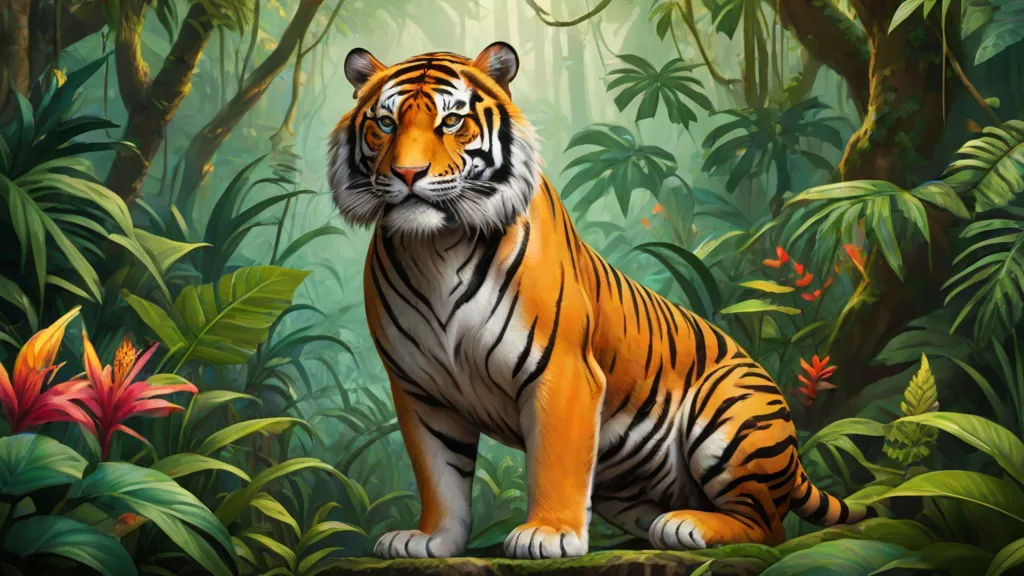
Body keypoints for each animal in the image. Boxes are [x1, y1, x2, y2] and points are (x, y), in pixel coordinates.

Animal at [328, 42, 872, 560]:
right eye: (385, 123)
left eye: (451, 121)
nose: (408, 173)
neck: (436, 247)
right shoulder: (422, 391)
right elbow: (438, 475)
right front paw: (431, 539)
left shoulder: (562, 370)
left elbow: (555, 462)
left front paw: (547, 533)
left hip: (729, 404)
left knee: (768, 525)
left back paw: (687, 526)